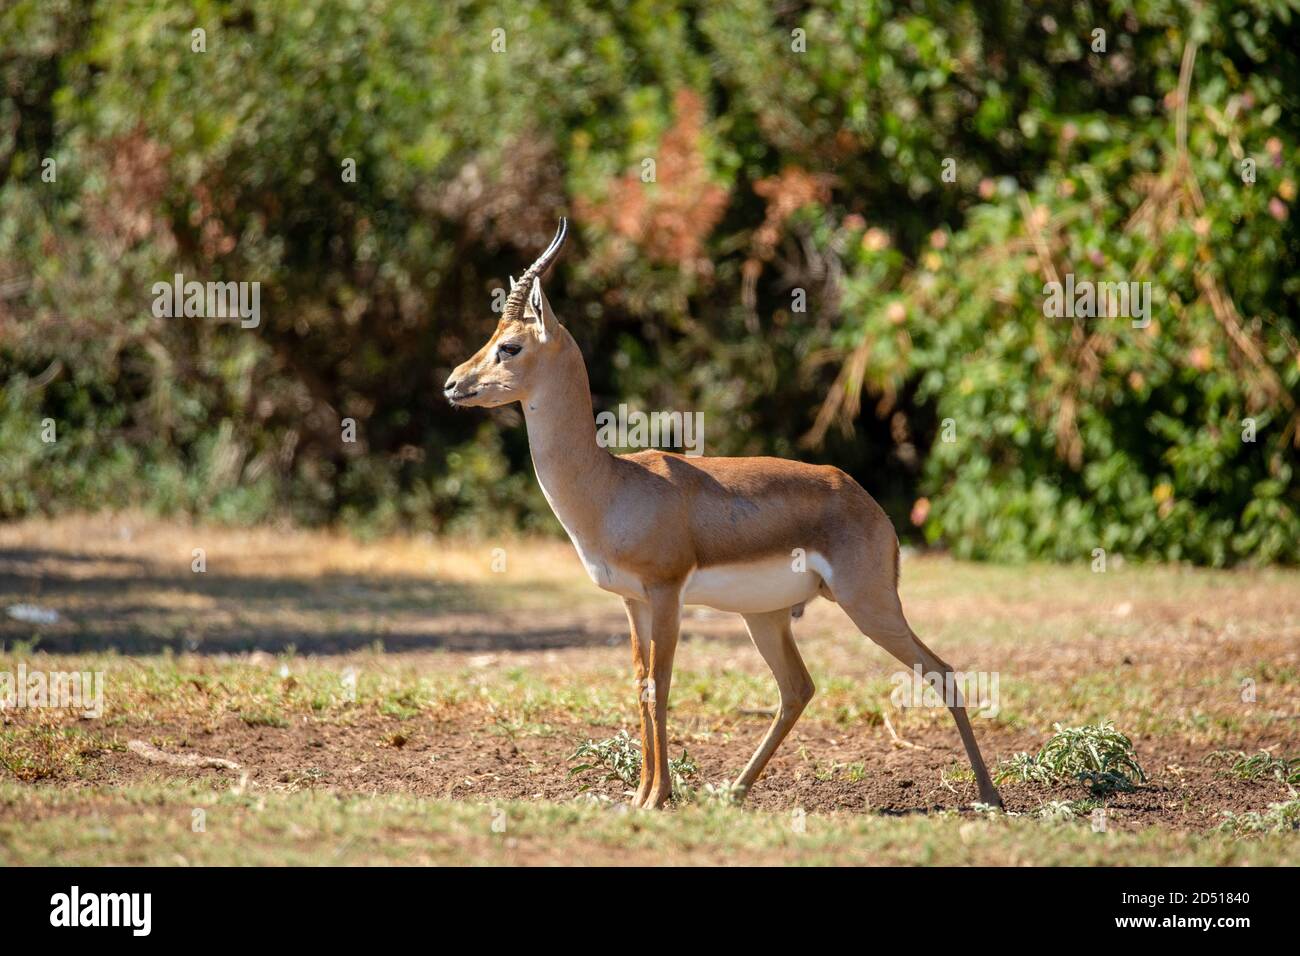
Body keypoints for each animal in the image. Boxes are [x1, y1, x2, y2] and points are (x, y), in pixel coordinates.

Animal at [444, 219, 1003, 809]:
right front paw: (639, 797)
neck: (611, 486)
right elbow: (640, 686)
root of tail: (866, 503)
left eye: (509, 345)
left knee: (942, 672)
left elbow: (661, 687)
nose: (453, 384)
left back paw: (990, 796)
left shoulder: (666, 594)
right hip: (767, 616)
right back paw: (734, 791)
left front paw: (658, 797)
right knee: (798, 688)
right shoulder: (632, 602)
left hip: (867, 604)